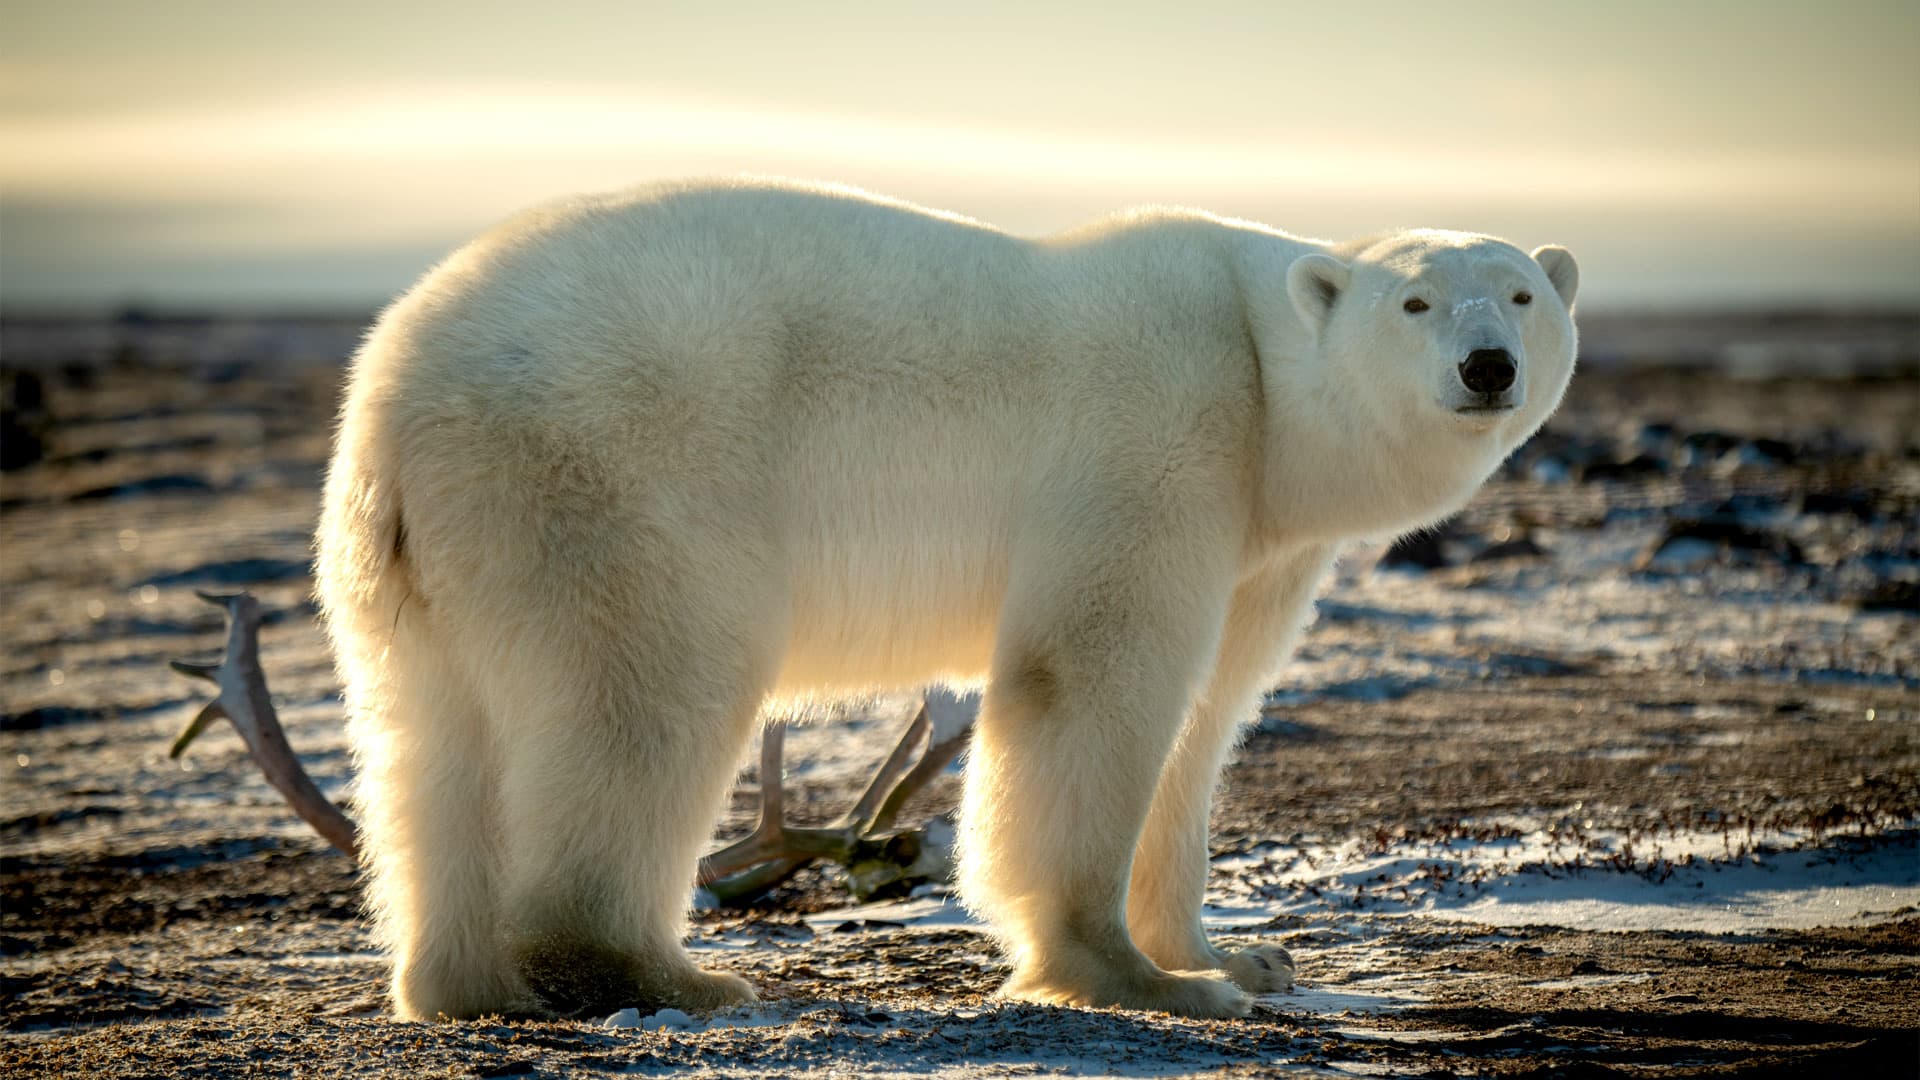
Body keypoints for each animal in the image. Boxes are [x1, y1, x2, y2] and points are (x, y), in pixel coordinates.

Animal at [315, 177, 1578, 1021]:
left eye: (1520, 292)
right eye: (1415, 303)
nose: (1488, 367)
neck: (1263, 375)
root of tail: (389, 394)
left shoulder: (1260, 540)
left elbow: (1206, 718)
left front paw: (1236, 959)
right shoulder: (1160, 431)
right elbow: (1092, 674)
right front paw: (1134, 976)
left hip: (435, 556)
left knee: (433, 744)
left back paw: (464, 980)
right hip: (611, 468)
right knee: (645, 696)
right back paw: (667, 973)